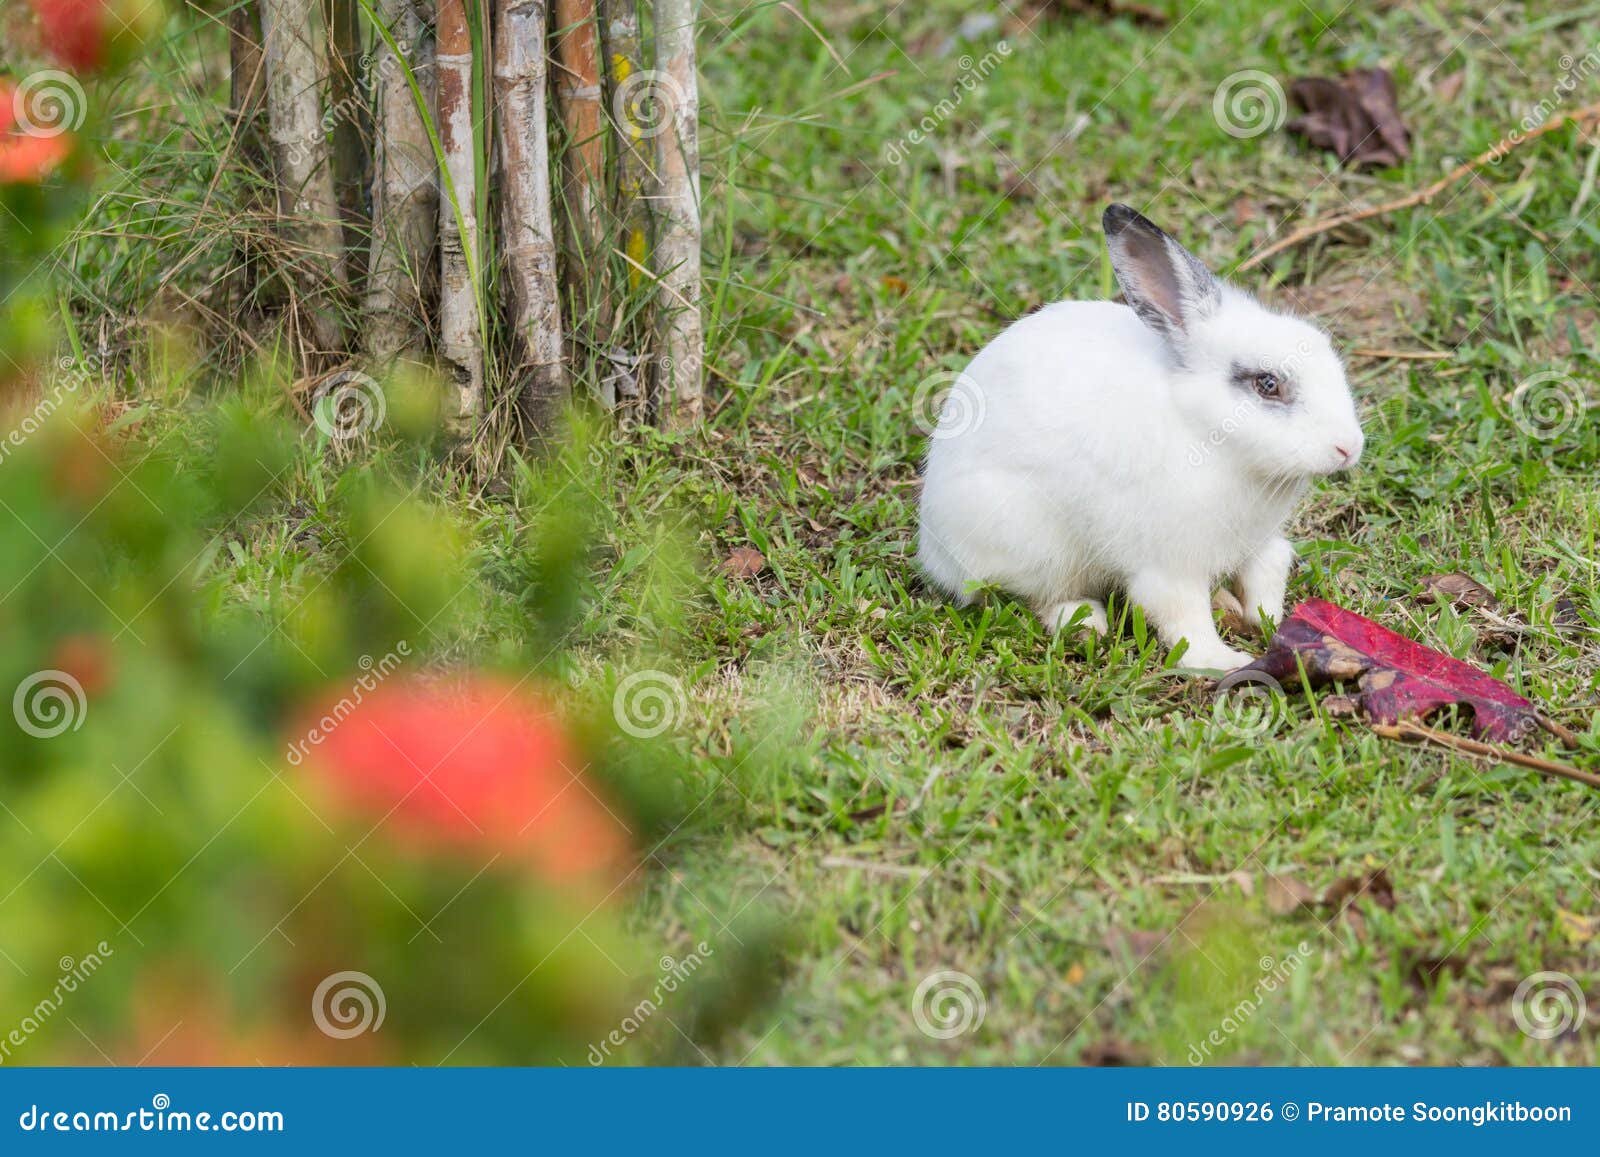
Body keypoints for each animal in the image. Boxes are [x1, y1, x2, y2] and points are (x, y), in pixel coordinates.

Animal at [916, 203, 1364, 671]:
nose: (1348, 447)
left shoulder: (1259, 544)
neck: (1210, 437)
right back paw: (1085, 621)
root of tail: (932, 543)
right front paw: (1225, 661)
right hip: (1033, 546)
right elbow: (1184, 619)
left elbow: (1270, 569)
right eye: (1267, 384)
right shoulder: (1169, 566)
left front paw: (1268, 619)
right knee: (1040, 596)